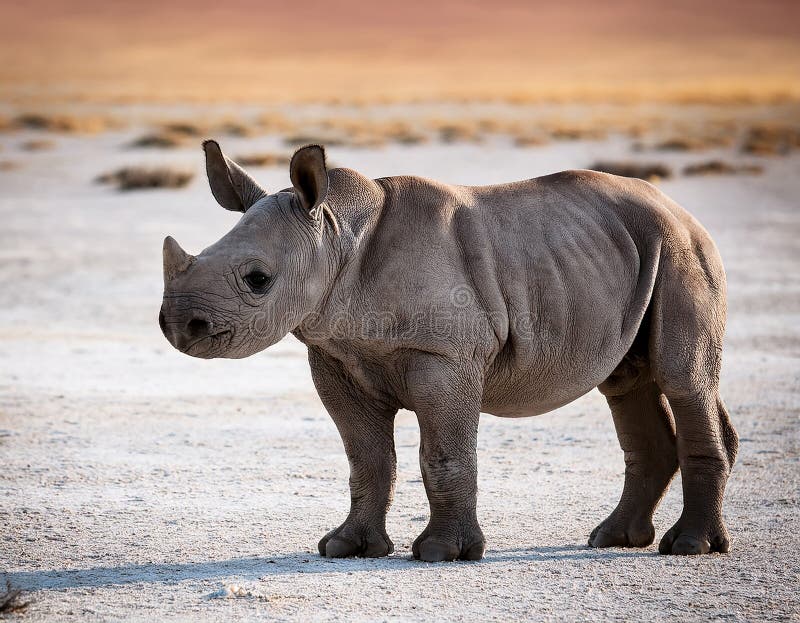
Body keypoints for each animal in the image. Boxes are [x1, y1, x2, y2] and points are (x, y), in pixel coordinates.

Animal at [159, 140, 738, 562]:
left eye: (258, 280)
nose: (178, 326)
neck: (336, 234)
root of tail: (681, 209)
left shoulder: (446, 355)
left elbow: (443, 452)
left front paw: (442, 553)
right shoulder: (335, 354)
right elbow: (366, 456)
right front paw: (345, 547)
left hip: (682, 251)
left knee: (682, 377)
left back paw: (687, 547)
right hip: (616, 256)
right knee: (625, 382)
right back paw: (612, 539)